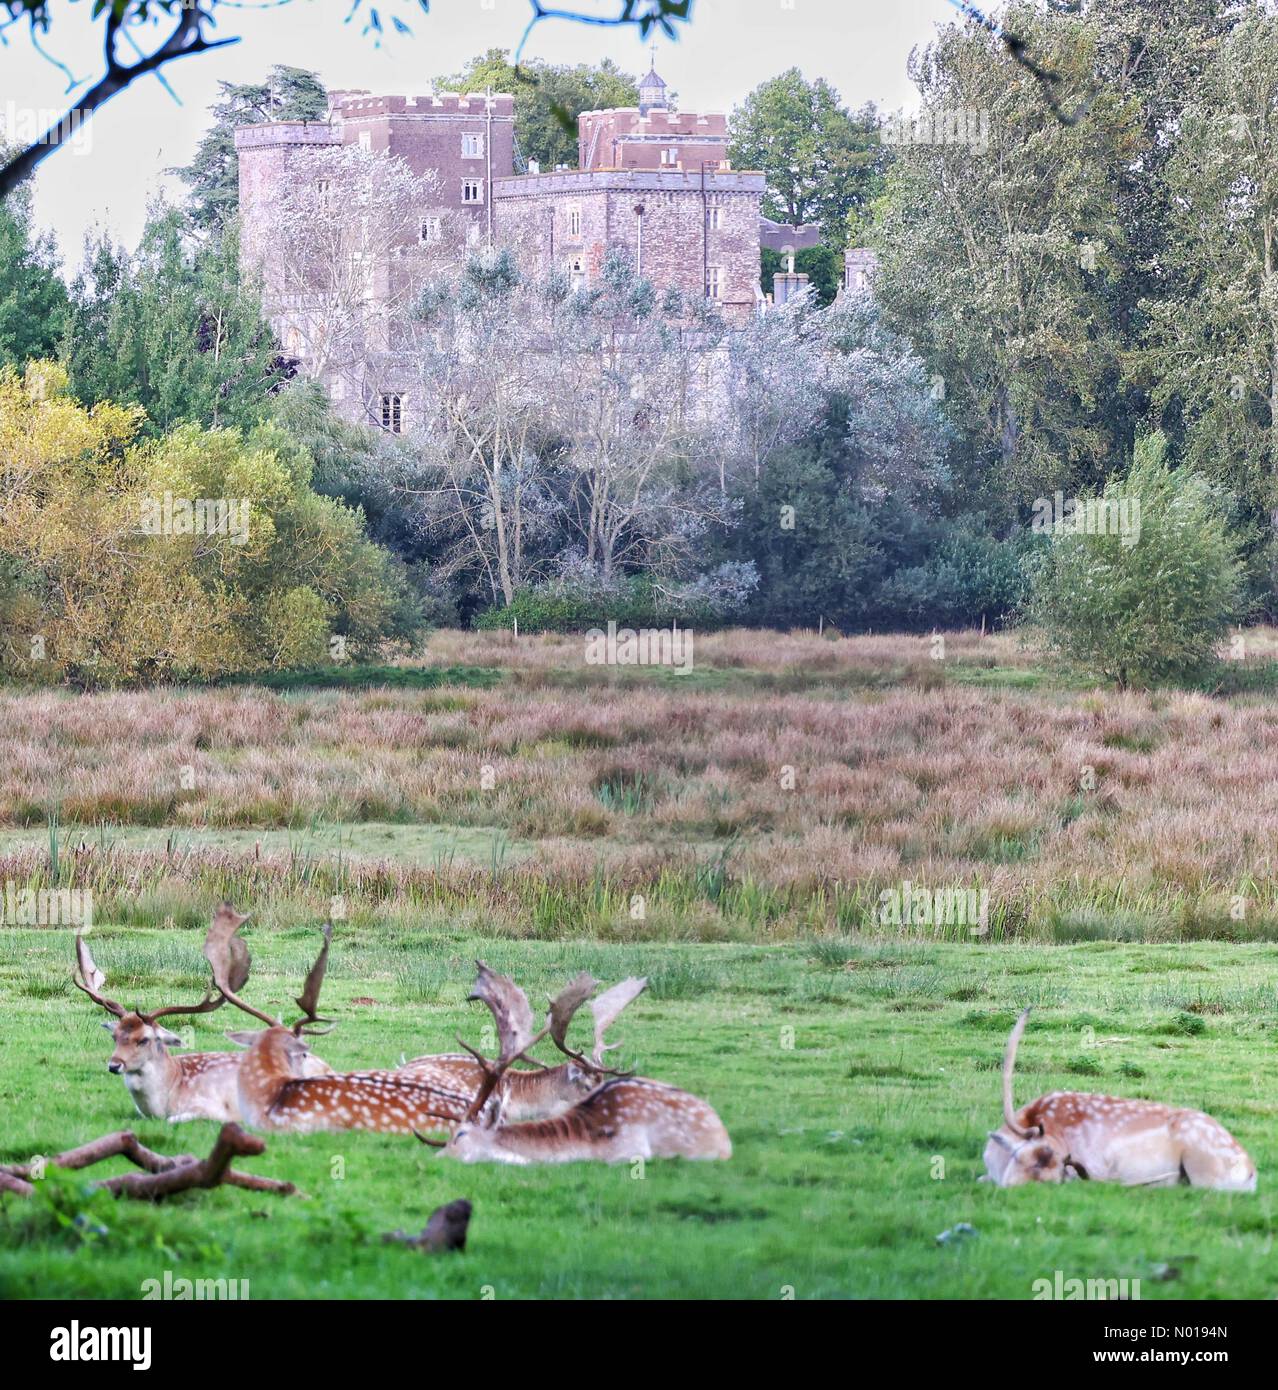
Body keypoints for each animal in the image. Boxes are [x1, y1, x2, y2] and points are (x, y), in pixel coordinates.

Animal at [72, 926, 329, 1124]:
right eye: (114, 1036)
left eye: (143, 1039)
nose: (114, 1065)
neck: (167, 1099)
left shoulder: (213, 1108)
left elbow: (175, 1120)